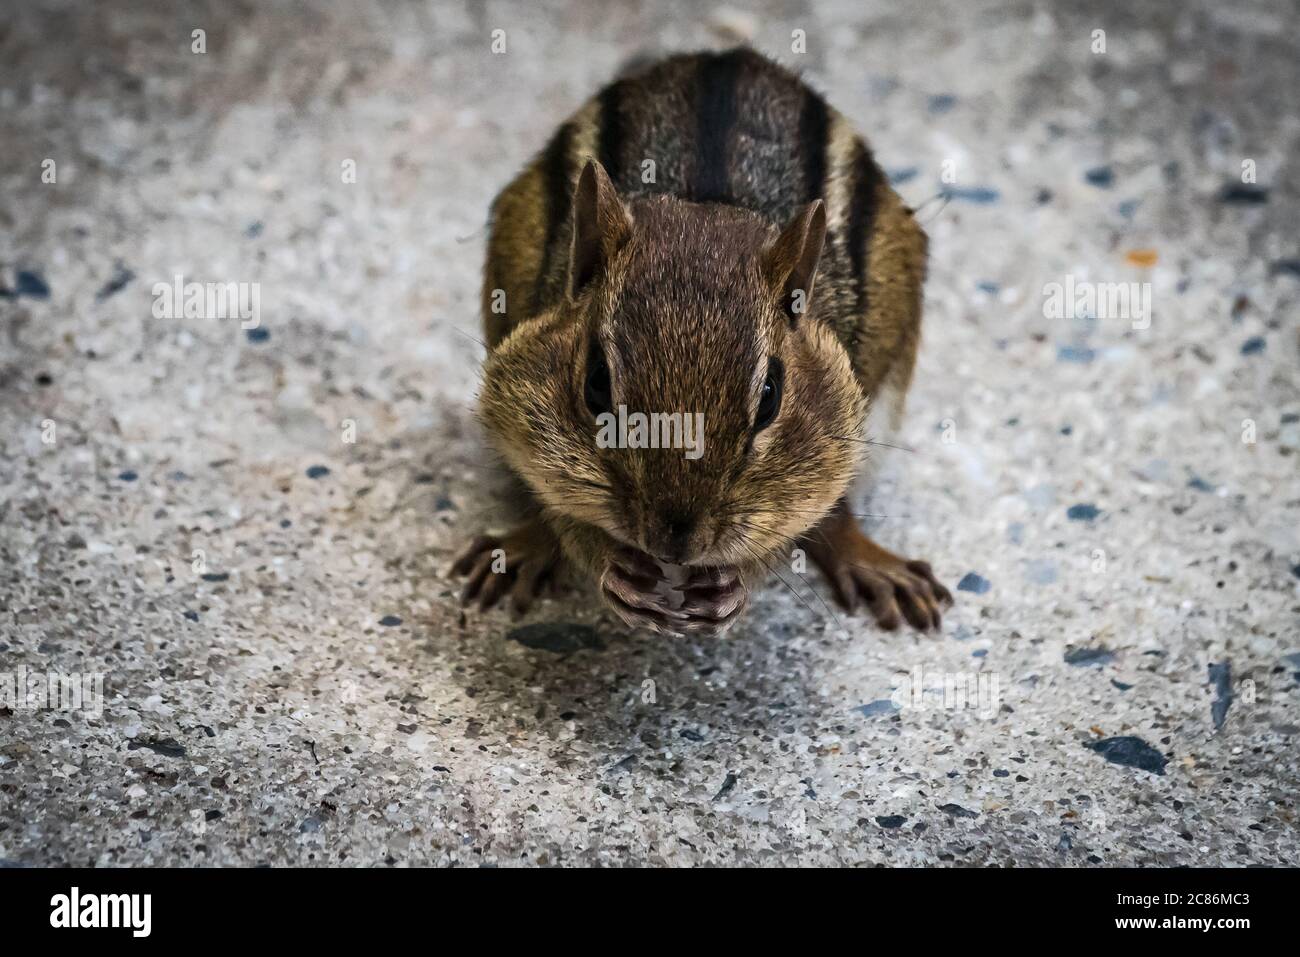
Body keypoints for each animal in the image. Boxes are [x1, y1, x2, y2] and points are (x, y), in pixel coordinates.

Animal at [452, 48, 952, 636]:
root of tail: (724, 58)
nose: (675, 539)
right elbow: (558, 506)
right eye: (596, 384)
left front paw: (732, 586)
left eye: (769, 397)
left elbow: (795, 523)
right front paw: (612, 571)